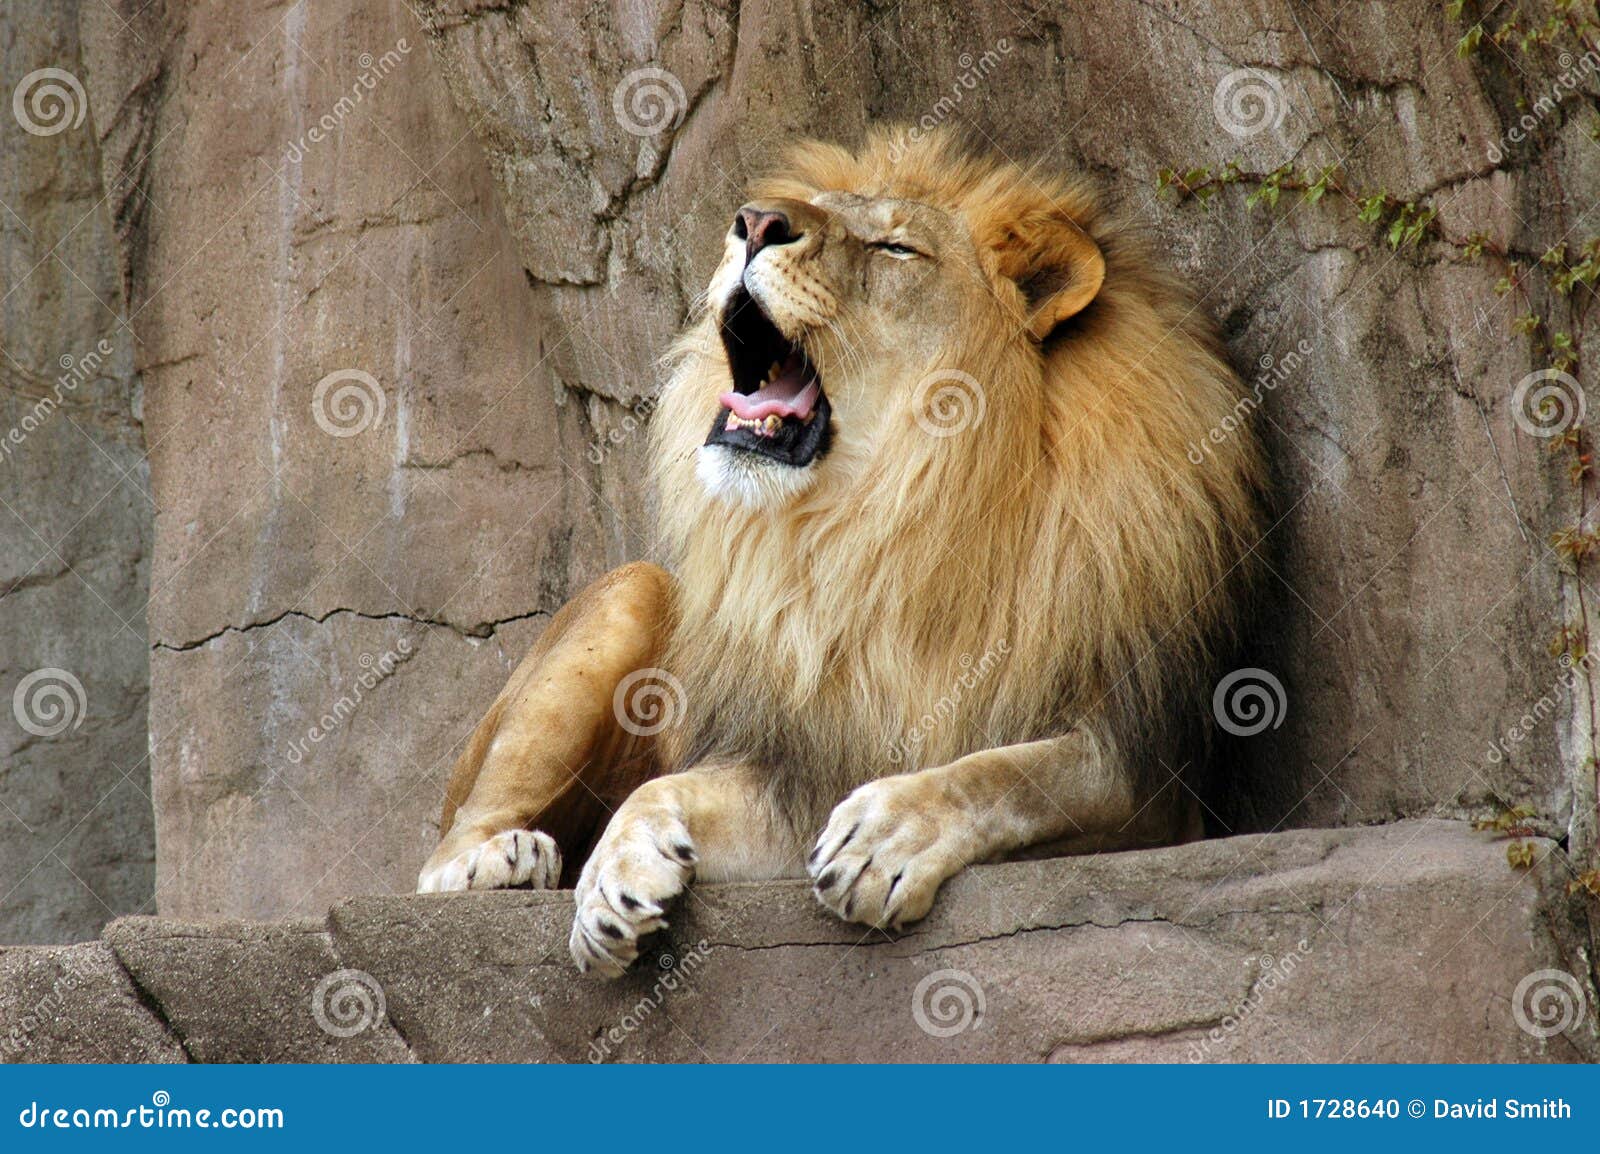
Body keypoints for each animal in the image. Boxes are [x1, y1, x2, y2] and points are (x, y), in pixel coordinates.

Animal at [416, 126, 1265, 978]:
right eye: (795, 211)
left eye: (895, 247)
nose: (755, 222)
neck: (886, 524)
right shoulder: (804, 759)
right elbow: (664, 789)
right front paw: (610, 882)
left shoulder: (1147, 769)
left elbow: (1012, 773)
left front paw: (885, 835)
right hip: (633, 590)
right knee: (436, 858)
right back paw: (499, 859)